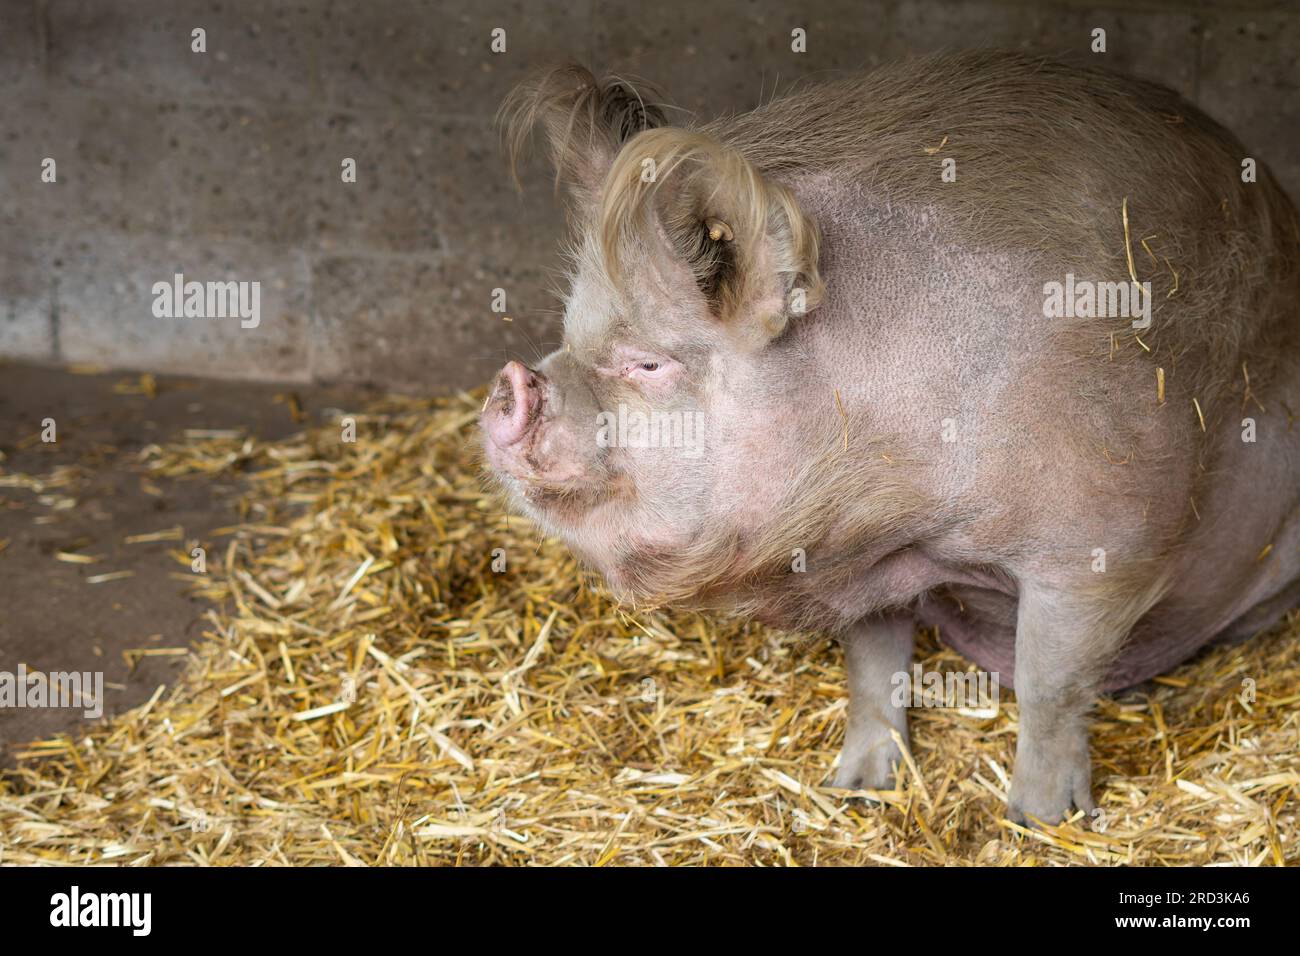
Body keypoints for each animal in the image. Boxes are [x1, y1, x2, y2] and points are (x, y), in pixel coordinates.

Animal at [481, 51, 1300, 825]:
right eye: (568, 336)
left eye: (648, 362)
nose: (508, 386)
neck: (896, 513)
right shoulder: (866, 554)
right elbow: (873, 665)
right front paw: (858, 788)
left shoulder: (1103, 542)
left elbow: (1050, 684)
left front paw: (1041, 821)